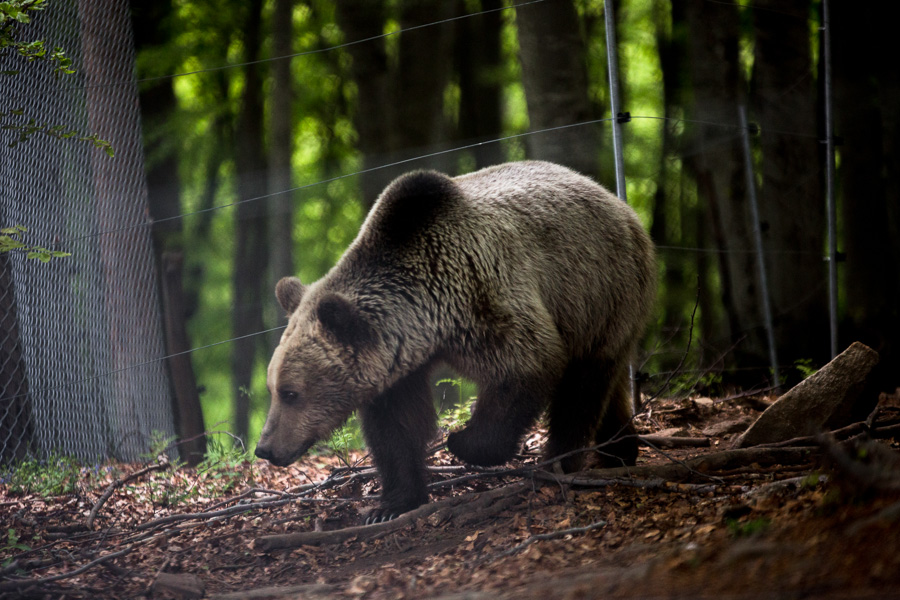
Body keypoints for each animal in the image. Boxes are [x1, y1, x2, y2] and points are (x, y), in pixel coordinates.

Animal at [255, 160, 657, 522]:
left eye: (291, 392)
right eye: (273, 389)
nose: (265, 448)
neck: (430, 319)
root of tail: (618, 203)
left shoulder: (482, 296)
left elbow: (527, 364)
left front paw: (461, 441)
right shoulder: (397, 364)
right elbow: (397, 427)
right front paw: (390, 505)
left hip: (600, 286)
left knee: (581, 387)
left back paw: (558, 464)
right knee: (606, 386)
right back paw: (620, 449)